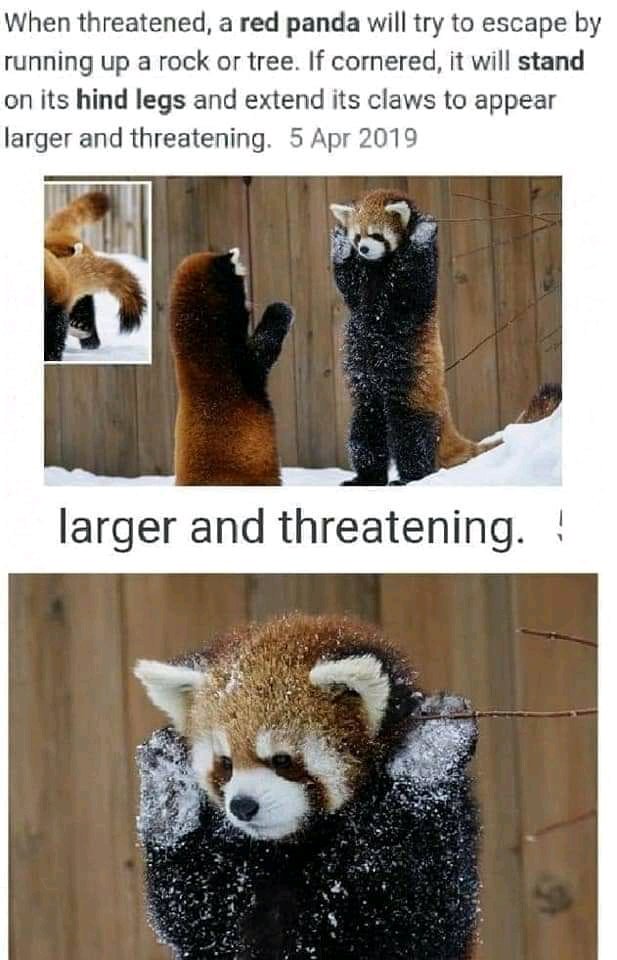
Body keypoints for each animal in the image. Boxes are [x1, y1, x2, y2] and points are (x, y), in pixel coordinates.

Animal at [134, 613, 480, 959]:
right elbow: (199, 917)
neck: (294, 844)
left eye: (282, 760)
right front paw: (168, 790)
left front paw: (432, 749)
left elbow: (420, 907)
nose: (243, 806)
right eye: (226, 763)